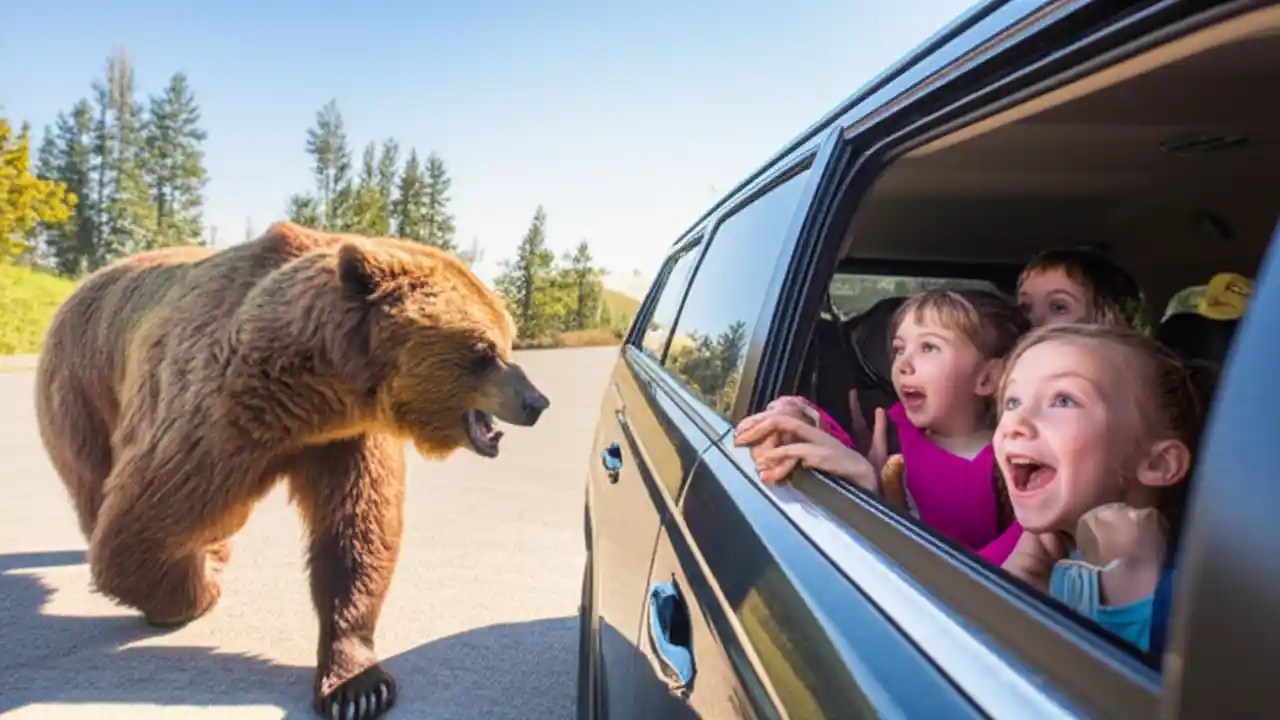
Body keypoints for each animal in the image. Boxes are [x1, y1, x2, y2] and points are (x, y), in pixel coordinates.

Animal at [33, 221, 550, 720]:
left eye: (508, 341)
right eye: (484, 351)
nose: (536, 402)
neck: (308, 394)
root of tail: (84, 284)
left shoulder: (346, 439)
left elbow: (357, 533)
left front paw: (356, 685)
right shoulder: (213, 422)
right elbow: (143, 524)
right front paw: (199, 588)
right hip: (83, 388)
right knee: (93, 482)